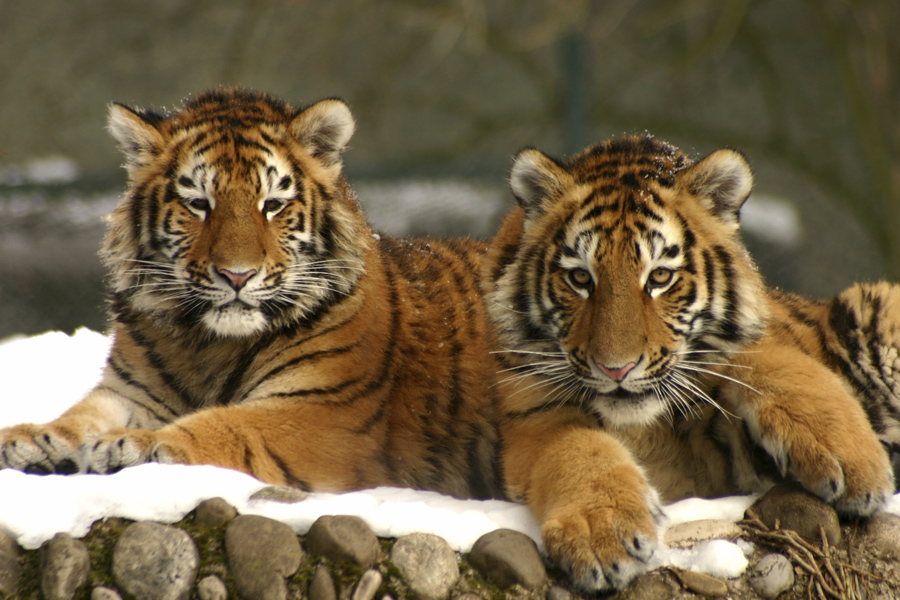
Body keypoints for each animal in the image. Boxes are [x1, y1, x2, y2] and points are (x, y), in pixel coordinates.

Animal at [0, 88, 506, 501]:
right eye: (199, 204)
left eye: (273, 205)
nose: (237, 276)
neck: (208, 343)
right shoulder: (133, 391)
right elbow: (79, 414)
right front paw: (29, 439)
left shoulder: (322, 410)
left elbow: (226, 424)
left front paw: (138, 445)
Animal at [483, 135, 898, 592]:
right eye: (580, 279)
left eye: (660, 277)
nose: (616, 369)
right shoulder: (534, 417)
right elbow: (577, 450)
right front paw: (603, 533)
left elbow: (765, 355)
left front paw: (857, 464)